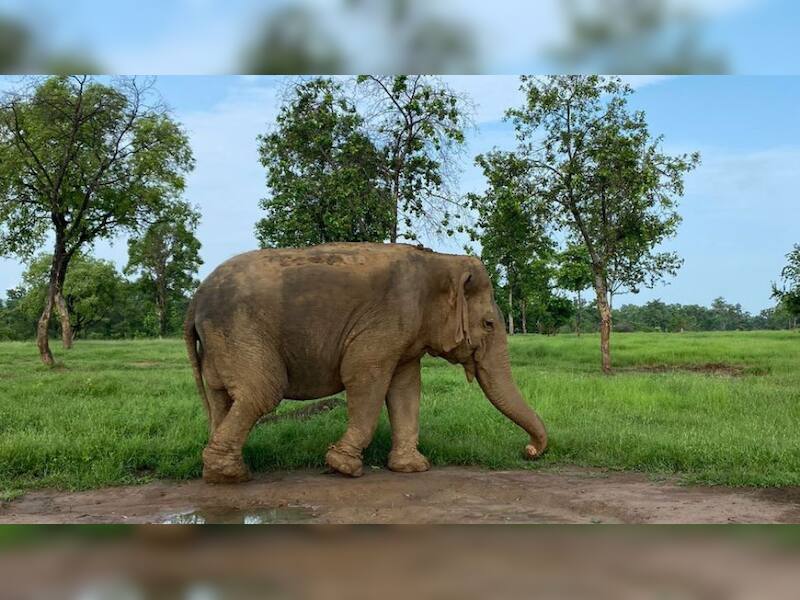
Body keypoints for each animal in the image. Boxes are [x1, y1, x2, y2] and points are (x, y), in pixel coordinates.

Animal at [184, 243, 548, 483]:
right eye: (488, 324)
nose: (528, 451)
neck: (440, 260)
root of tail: (195, 297)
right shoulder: (386, 320)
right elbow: (365, 377)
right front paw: (343, 467)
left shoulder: (407, 334)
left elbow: (405, 388)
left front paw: (413, 468)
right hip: (240, 331)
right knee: (262, 392)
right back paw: (231, 476)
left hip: (220, 344)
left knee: (221, 398)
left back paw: (223, 470)